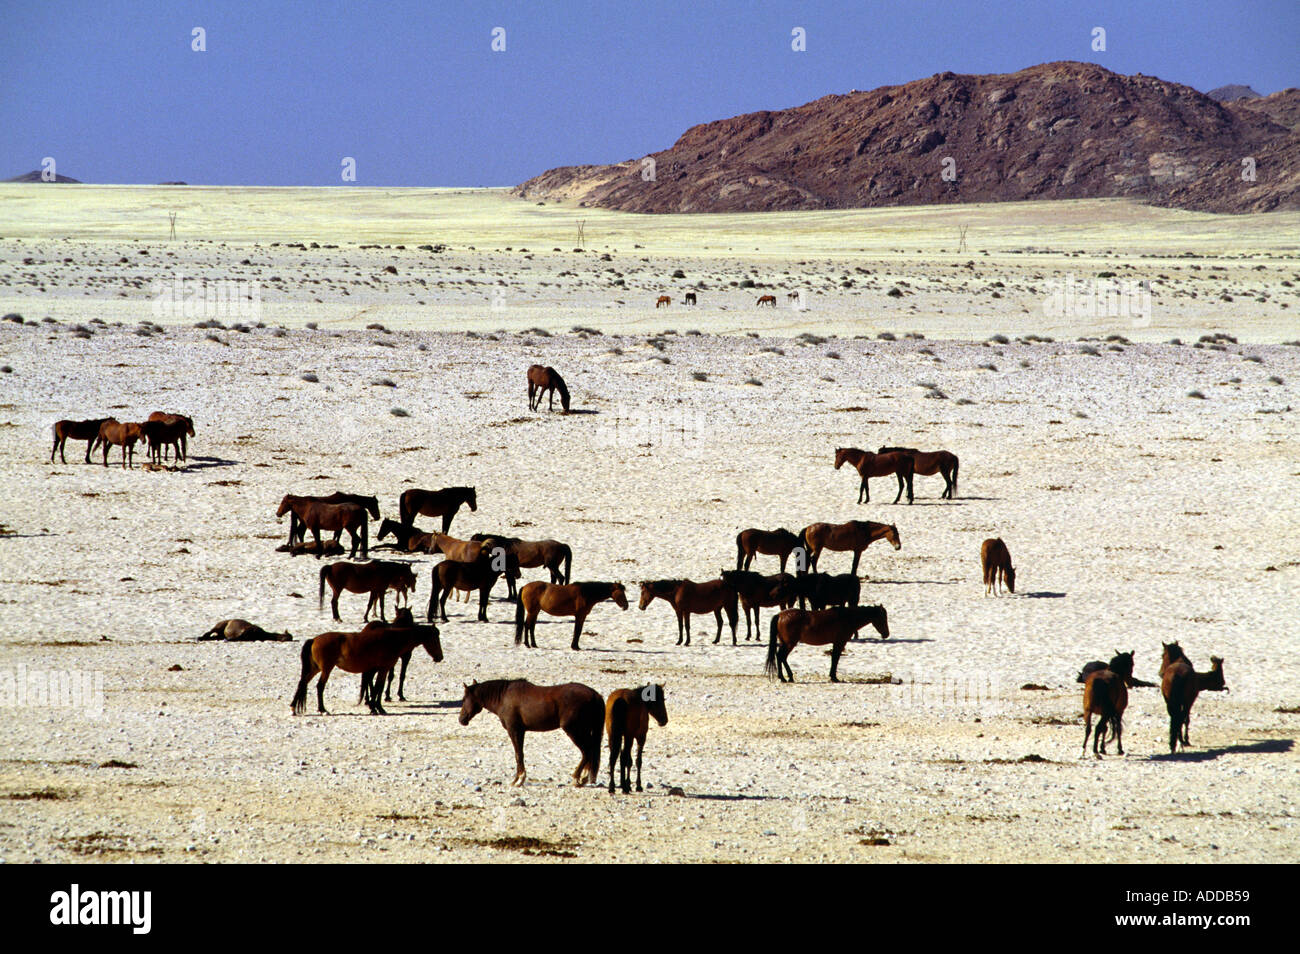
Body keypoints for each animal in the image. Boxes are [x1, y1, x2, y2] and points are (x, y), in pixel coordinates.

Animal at [291, 615, 442, 716]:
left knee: (303, 682)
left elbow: (378, 687)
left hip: (316, 669)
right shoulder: (383, 669)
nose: (440, 657)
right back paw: (322, 710)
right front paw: (376, 708)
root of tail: (314, 639)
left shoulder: (381, 669)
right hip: (326, 669)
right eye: (435, 638)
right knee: (319, 686)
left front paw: (377, 707)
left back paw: (293, 707)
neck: (393, 639)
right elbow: (378, 687)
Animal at [459, 679, 605, 786]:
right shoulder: (521, 731)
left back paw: (576, 778)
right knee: (590, 751)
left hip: (574, 730)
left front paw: (519, 779)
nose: (461, 719)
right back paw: (584, 777)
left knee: (587, 751)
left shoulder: (514, 730)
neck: (504, 697)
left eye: (464, 699)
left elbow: (518, 754)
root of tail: (594, 694)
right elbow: (520, 754)